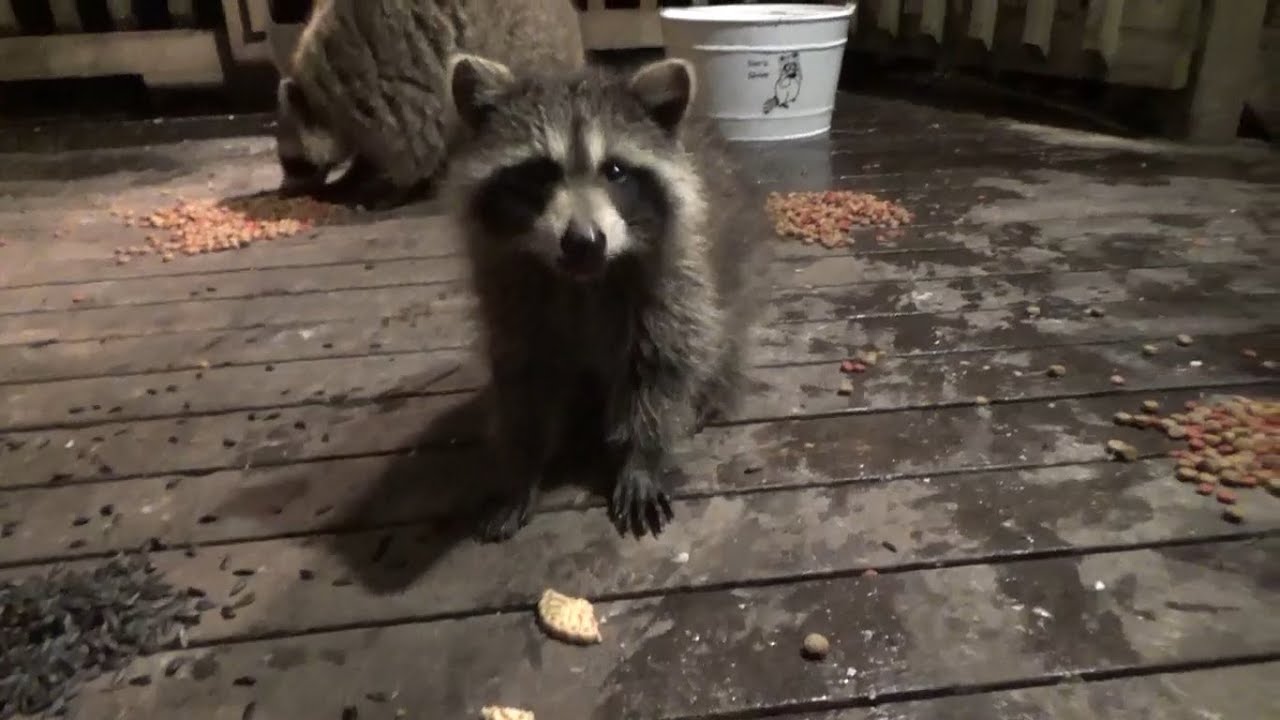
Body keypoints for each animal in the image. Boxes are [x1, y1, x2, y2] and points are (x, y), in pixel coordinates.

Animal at [274, 0, 585, 208]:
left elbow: (409, 152)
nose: (283, 192)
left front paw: (386, 188)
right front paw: (351, 177)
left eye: (293, 163)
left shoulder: (383, 90)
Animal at [443, 53, 771, 542]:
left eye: (615, 171)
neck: (584, 277)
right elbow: (523, 379)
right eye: (539, 173)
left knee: (722, 336)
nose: (584, 241)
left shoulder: (675, 278)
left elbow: (662, 366)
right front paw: (521, 465)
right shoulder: (509, 290)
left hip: (737, 277)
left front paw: (642, 458)